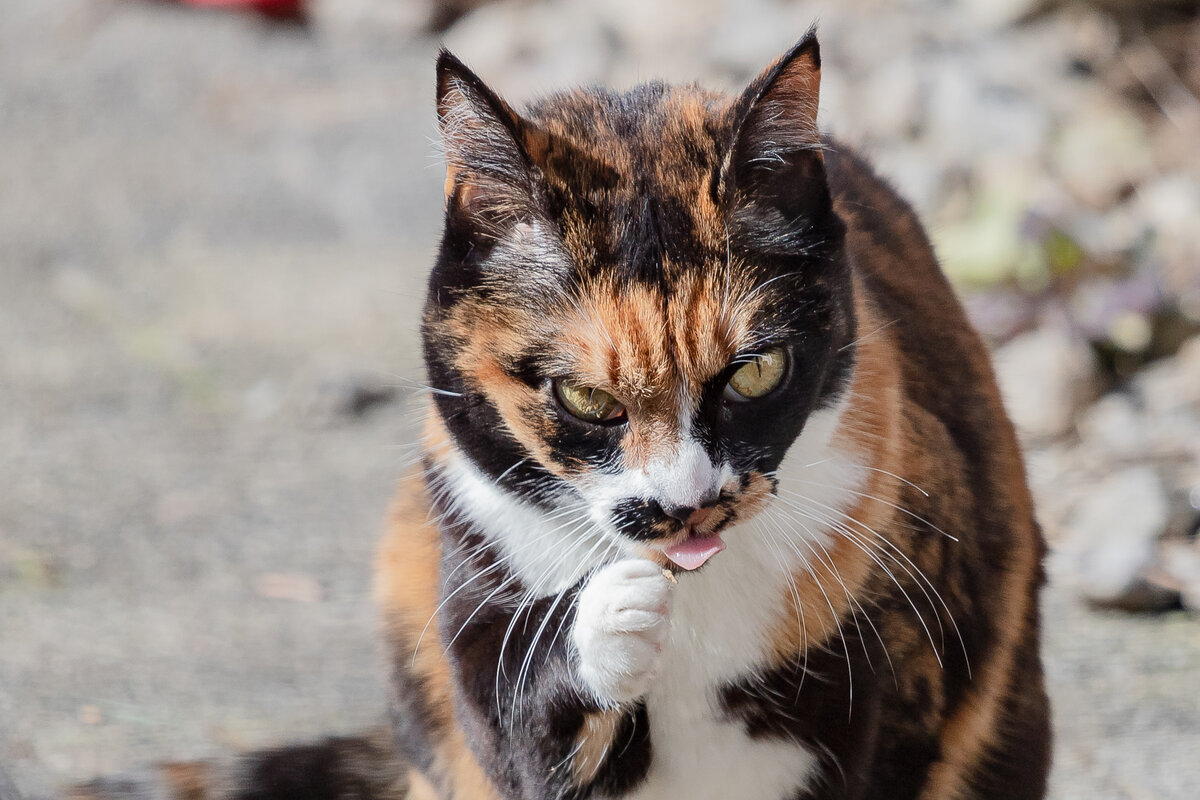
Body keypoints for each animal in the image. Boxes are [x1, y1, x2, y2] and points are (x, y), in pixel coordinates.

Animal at [65, 28, 1051, 800]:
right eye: (585, 399)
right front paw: (611, 613)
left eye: (756, 373)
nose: (689, 506)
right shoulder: (472, 582)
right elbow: (517, 720)